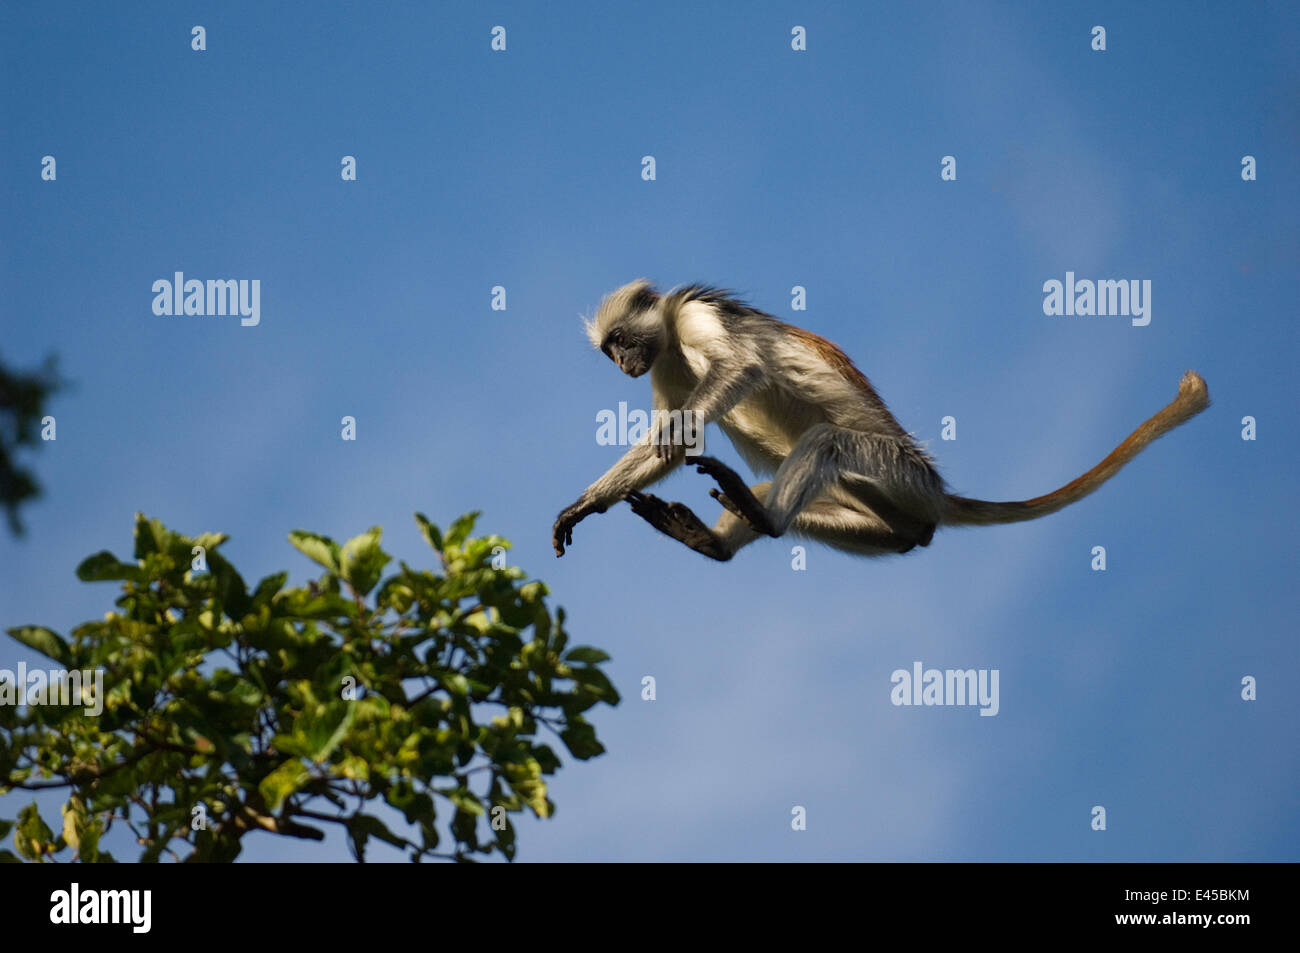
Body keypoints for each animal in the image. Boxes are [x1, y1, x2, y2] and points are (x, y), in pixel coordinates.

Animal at [552, 279, 1210, 562]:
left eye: (619, 343)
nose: (623, 364)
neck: (667, 335)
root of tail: (937, 494)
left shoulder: (694, 315)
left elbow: (741, 367)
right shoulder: (664, 360)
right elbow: (675, 443)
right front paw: (585, 505)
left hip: (899, 469)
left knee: (826, 441)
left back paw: (765, 518)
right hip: (881, 507)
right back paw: (717, 540)